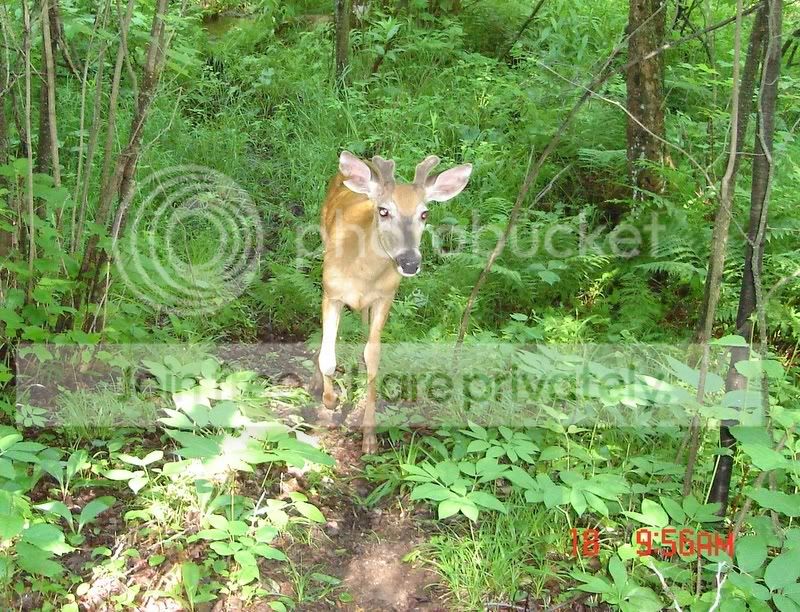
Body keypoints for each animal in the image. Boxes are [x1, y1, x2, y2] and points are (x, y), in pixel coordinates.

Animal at [311, 151, 473, 454]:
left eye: (424, 213)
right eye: (384, 211)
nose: (409, 262)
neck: (362, 272)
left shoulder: (386, 296)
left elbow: (373, 357)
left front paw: (369, 438)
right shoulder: (331, 292)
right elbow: (327, 356)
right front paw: (328, 404)